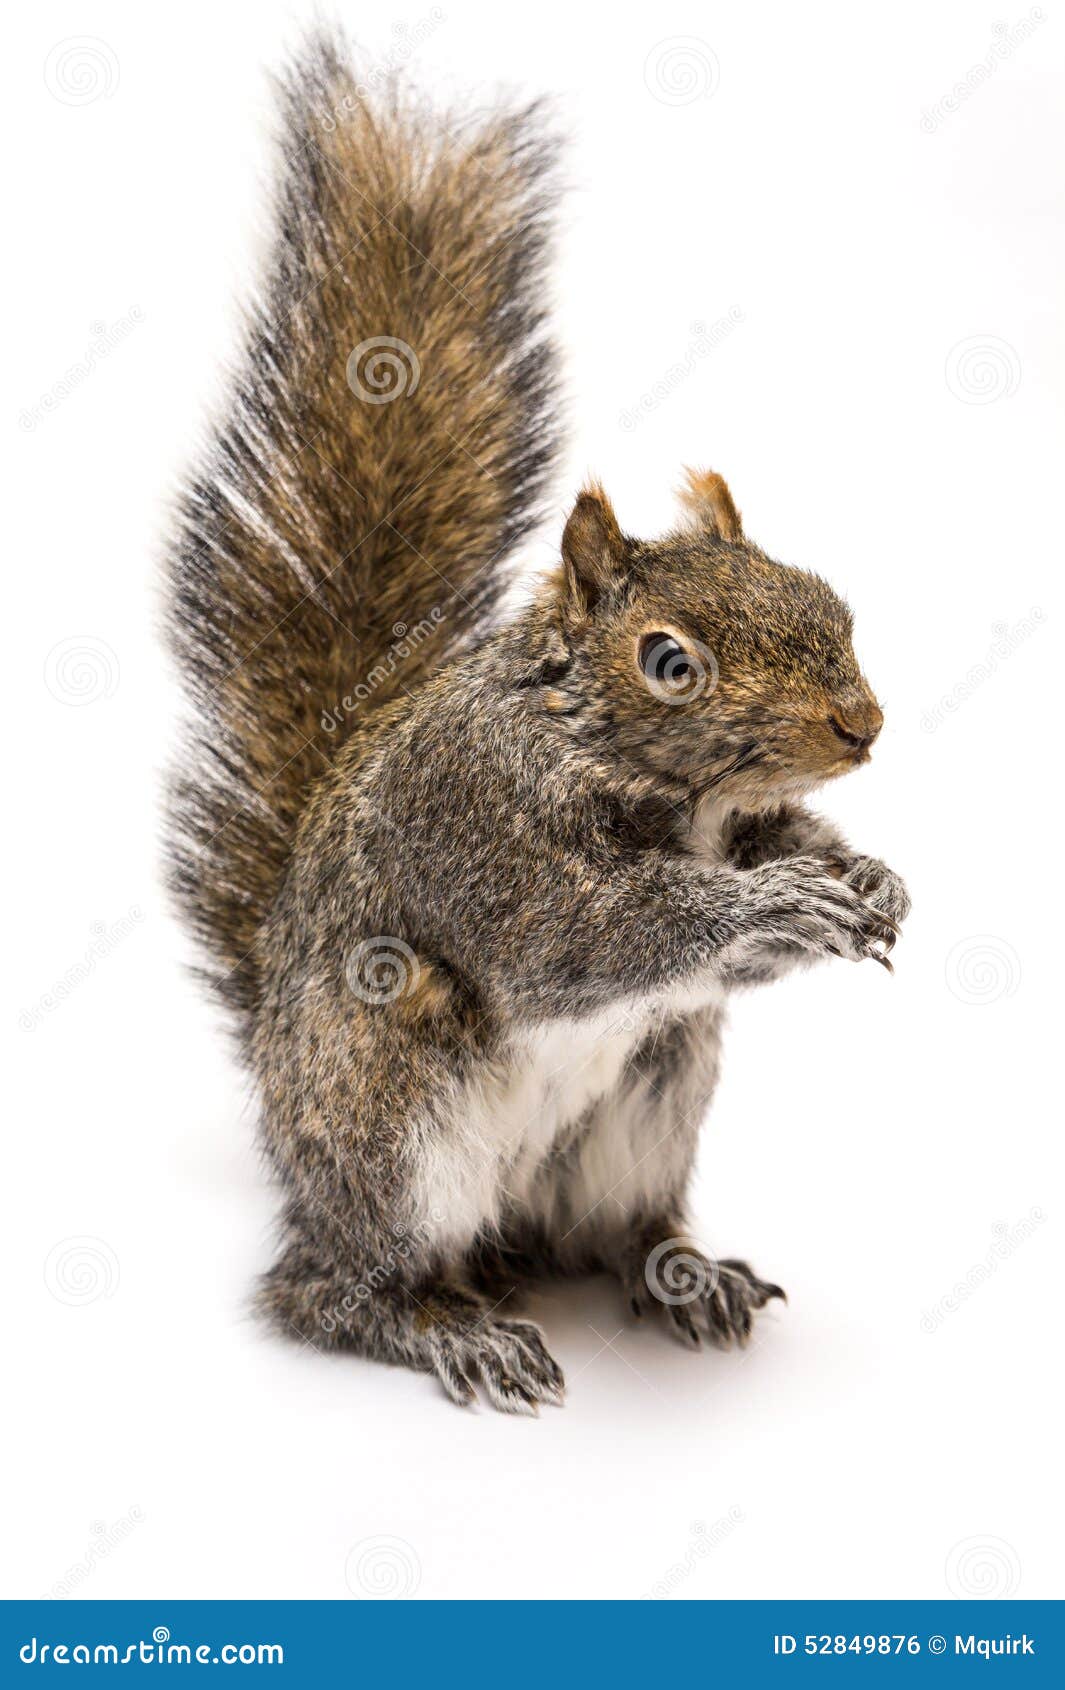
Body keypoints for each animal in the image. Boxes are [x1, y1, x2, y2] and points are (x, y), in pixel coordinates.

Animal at [166, 32, 910, 1412]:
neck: (678, 797)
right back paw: (444, 1327)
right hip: (390, 1102)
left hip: (651, 1099)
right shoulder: (480, 825)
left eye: (823, 594)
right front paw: (776, 905)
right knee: (331, 1290)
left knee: (613, 1233)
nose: (860, 725)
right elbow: (580, 933)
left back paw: (687, 1274)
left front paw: (867, 881)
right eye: (669, 662)